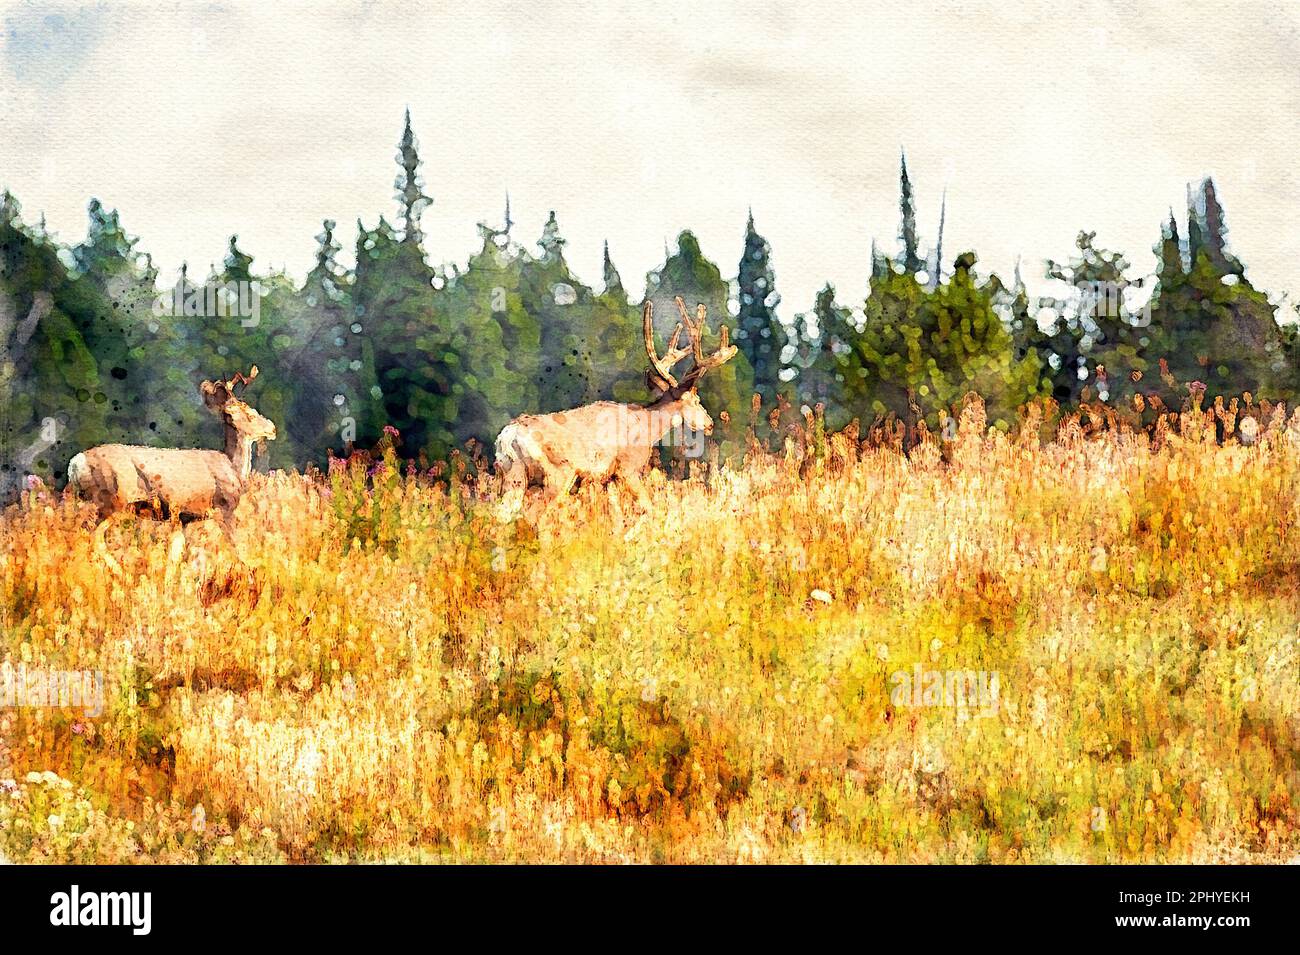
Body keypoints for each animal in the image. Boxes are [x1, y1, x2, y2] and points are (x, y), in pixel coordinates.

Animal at [66, 367, 276, 573]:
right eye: (251, 414)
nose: (272, 429)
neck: (232, 467)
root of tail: (76, 463)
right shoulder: (224, 507)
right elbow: (236, 548)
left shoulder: (185, 518)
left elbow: (181, 555)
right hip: (112, 499)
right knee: (92, 536)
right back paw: (119, 573)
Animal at [495, 296, 736, 517]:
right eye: (696, 400)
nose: (709, 423)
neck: (647, 426)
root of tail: (510, 434)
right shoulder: (627, 468)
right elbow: (648, 506)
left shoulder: (604, 479)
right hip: (557, 473)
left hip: (513, 475)